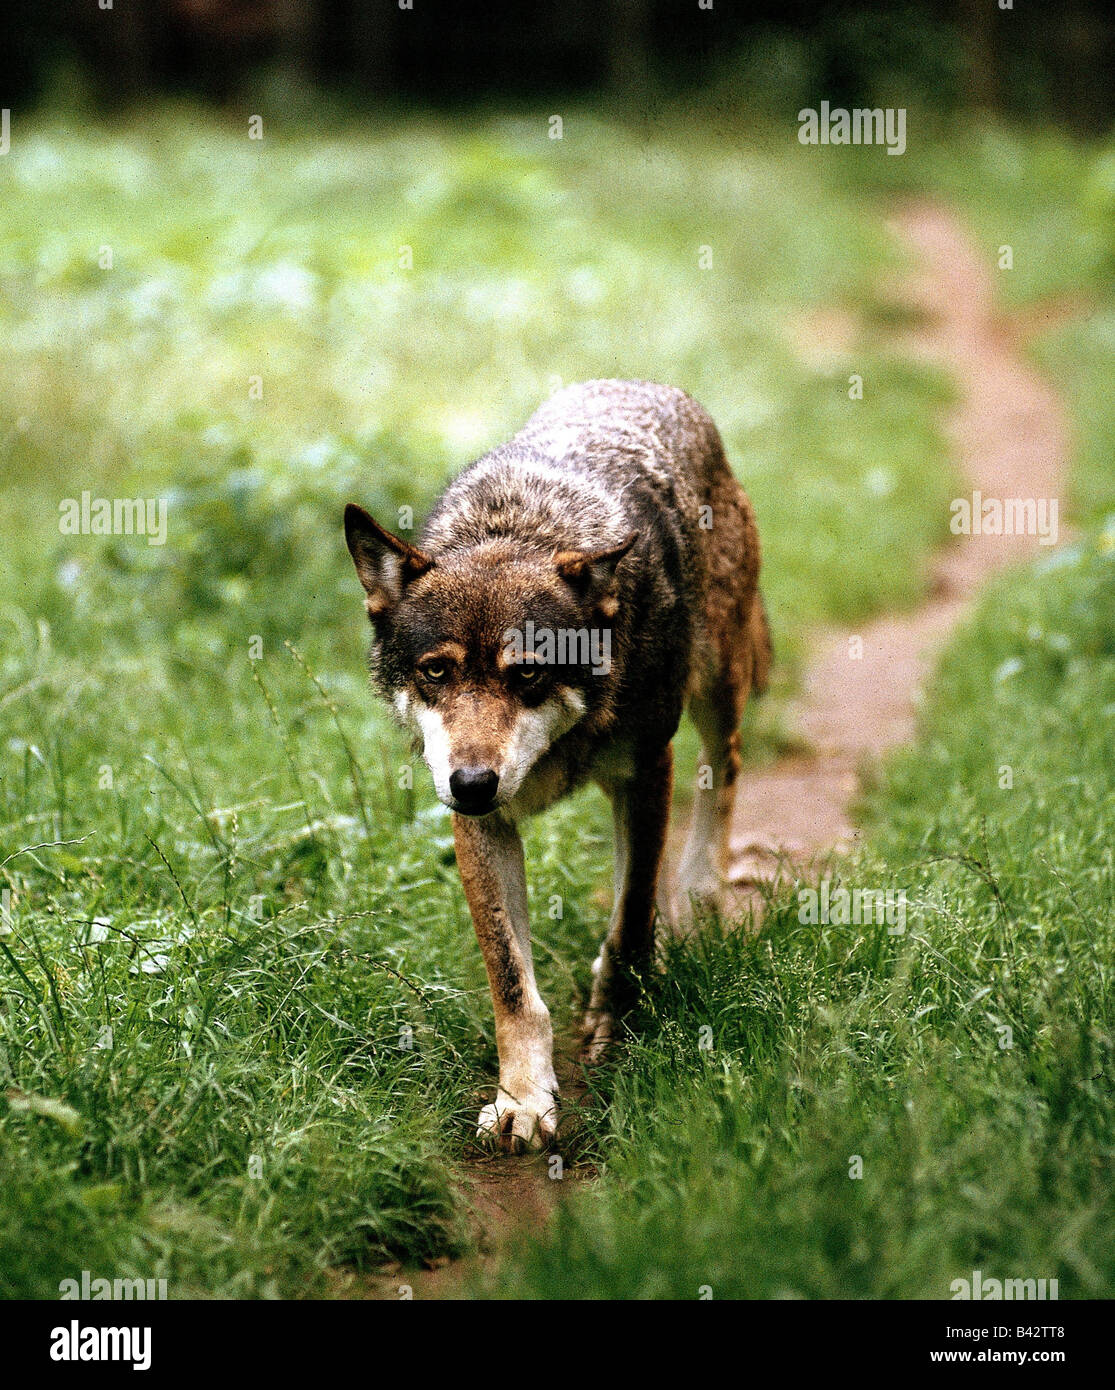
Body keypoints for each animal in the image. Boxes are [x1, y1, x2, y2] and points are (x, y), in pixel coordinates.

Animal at [344, 379, 770, 1151]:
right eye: (436, 672)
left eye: (530, 674)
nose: (472, 783)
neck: (523, 526)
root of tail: (649, 384)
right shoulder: (480, 826)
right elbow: (512, 983)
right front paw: (522, 1099)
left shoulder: (645, 771)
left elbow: (630, 920)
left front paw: (617, 1025)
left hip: (716, 686)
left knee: (722, 771)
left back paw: (698, 892)